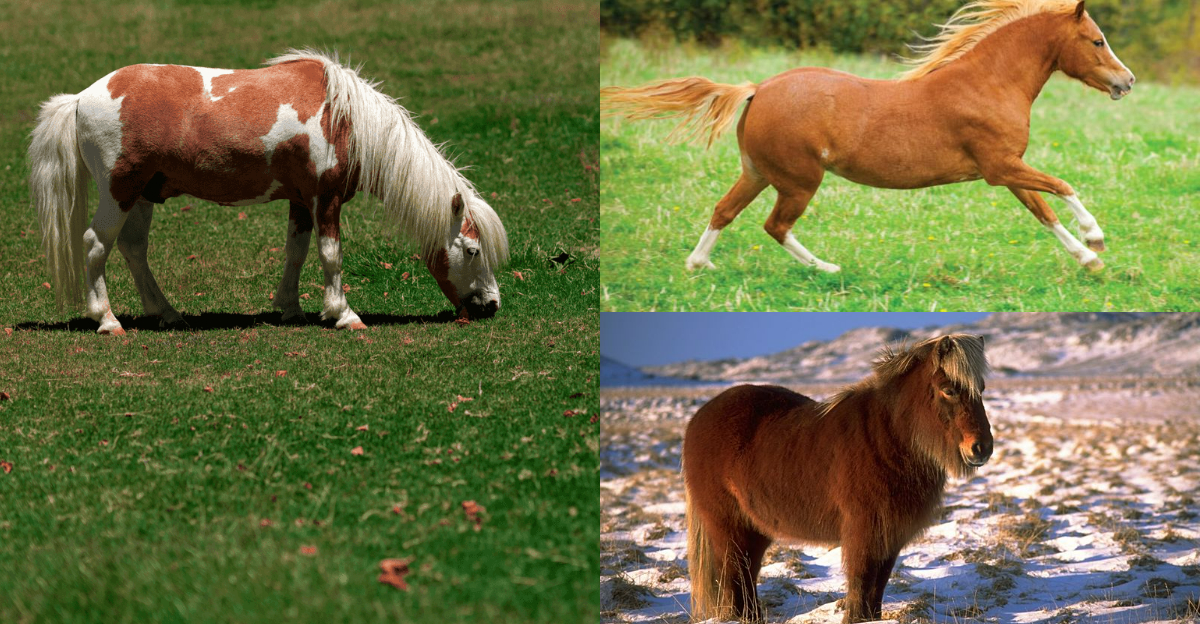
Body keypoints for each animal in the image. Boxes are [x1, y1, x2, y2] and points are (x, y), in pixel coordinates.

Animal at [28, 49, 509, 335]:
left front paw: (291, 309)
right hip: (120, 192)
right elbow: (331, 255)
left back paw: (165, 313)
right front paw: (344, 315)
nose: (491, 305)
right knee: (96, 245)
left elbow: (296, 252)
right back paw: (107, 321)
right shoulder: (326, 199)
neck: (344, 118)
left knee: (133, 249)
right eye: (471, 250)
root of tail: (81, 98)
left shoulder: (301, 201)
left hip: (144, 194)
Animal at [602, 0, 1134, 276]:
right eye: (1097, 40)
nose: (1126, 82)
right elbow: (1062, 188)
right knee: (774, 225)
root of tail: (759, 89)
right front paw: (1096, 237)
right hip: (799, 181)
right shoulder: (999, 167)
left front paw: (1088, 258)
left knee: (724, 211)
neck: (987, 83)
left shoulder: (1004, 169)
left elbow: (1043, 212)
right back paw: (827, 270)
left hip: (758, 173)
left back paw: (699, 265)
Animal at [682, 334, 992, 623]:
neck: (887, 437)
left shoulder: (890, 535)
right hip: (728, 526)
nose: (982, 448)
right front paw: (856, 618)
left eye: (981, 389)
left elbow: (877, 586)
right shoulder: (864, 532)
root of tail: (699, 417)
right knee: (735, 575)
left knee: (747, 573)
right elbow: (862, 581)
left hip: (754, 528)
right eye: (949, 390)